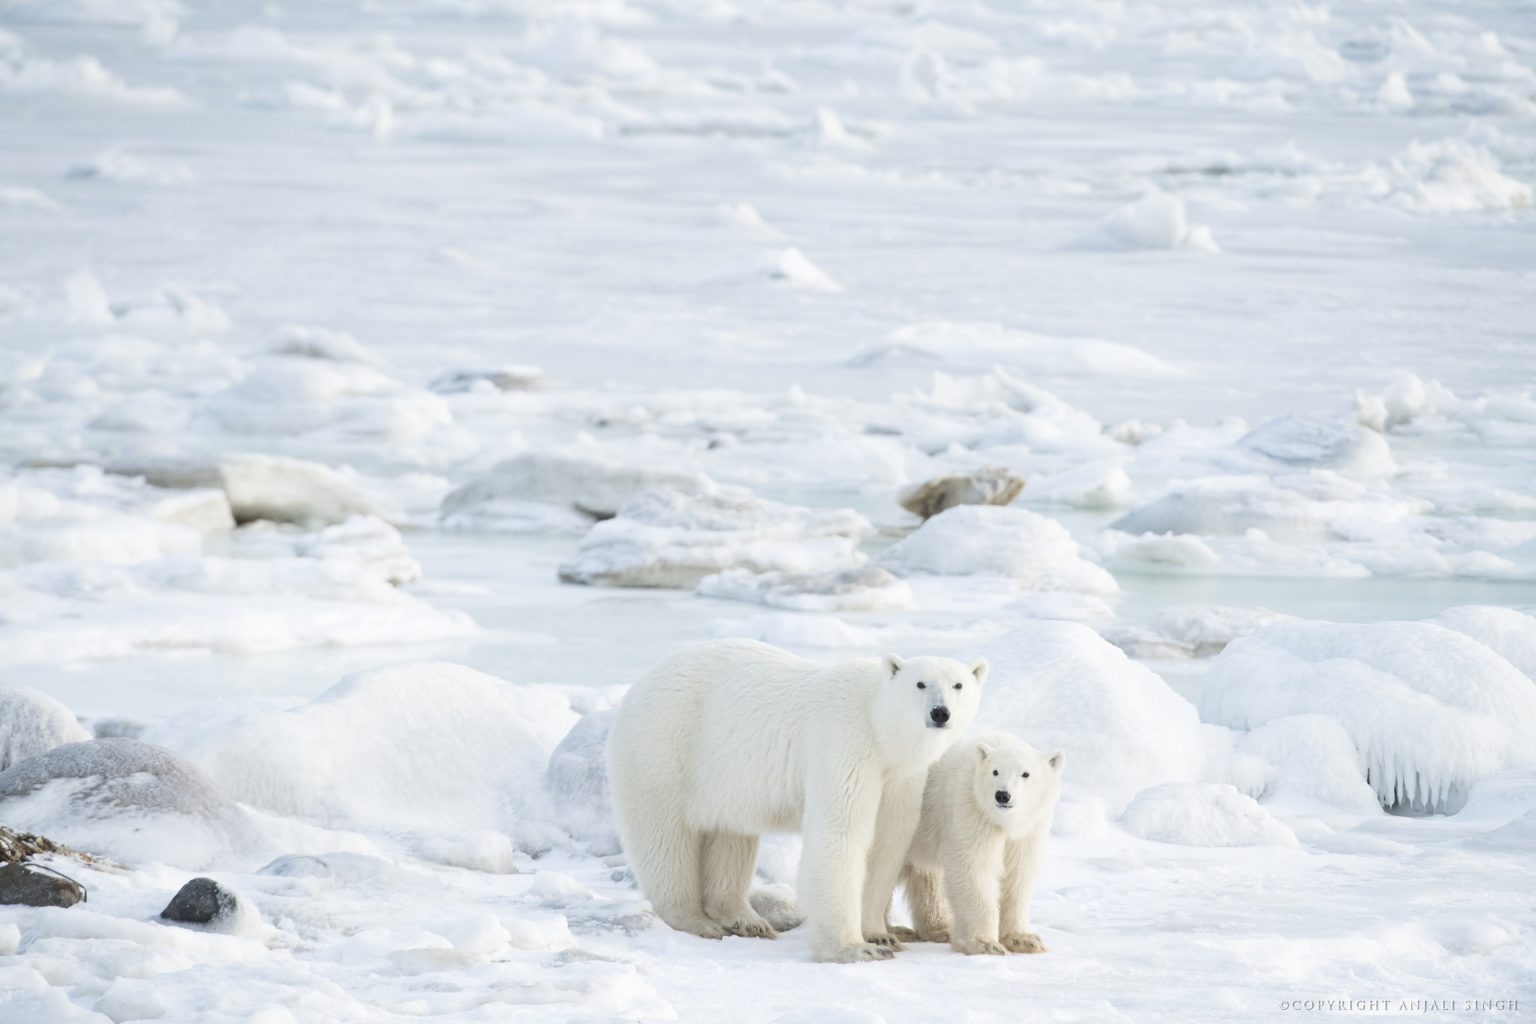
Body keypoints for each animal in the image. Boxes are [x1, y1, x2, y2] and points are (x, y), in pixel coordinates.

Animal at [606, 638, 986, 963]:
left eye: (958, 685)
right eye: (920, 684)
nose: (940, 713)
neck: (877, 725)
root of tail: (638, 685)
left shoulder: (899, 776)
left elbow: (886, 842)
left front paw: (880, 934)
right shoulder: (845, 744)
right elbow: (840, 835)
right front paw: (854, 948)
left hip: (727, 780)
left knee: (731, 836)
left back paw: (745, 919)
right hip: (666, 747)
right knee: (665, 838)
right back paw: (696, 920)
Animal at [897, 733, 1062, 956]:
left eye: (1025, 773)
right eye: (995, 771)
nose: (1002, 795)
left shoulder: (1029, 829)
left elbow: (1018, 873)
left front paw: (1024, 939)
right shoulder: (971, 809)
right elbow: (974, 867)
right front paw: (984, 943)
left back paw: (940, 929)